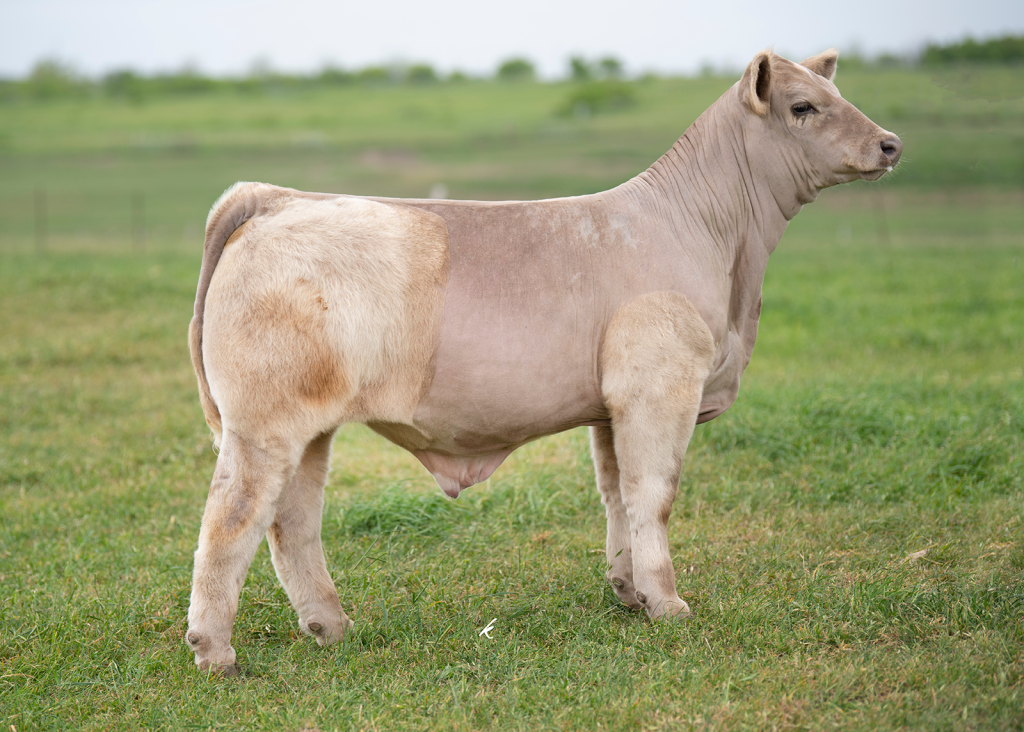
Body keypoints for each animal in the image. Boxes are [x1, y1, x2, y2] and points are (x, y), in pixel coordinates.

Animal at [184, 49, 901, 674]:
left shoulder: (610, 408)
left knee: (294, 519)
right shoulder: (660, 388)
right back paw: (216, 651)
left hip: (310, 429)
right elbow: (654, 494)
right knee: (235, 515)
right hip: (265, 426)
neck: (727, 257)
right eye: (804, 106)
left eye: (838, 93)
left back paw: (330, 626)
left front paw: (629, 591)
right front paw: (668, 603)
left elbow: (616, 494)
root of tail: (277, 198)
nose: (890, 144)